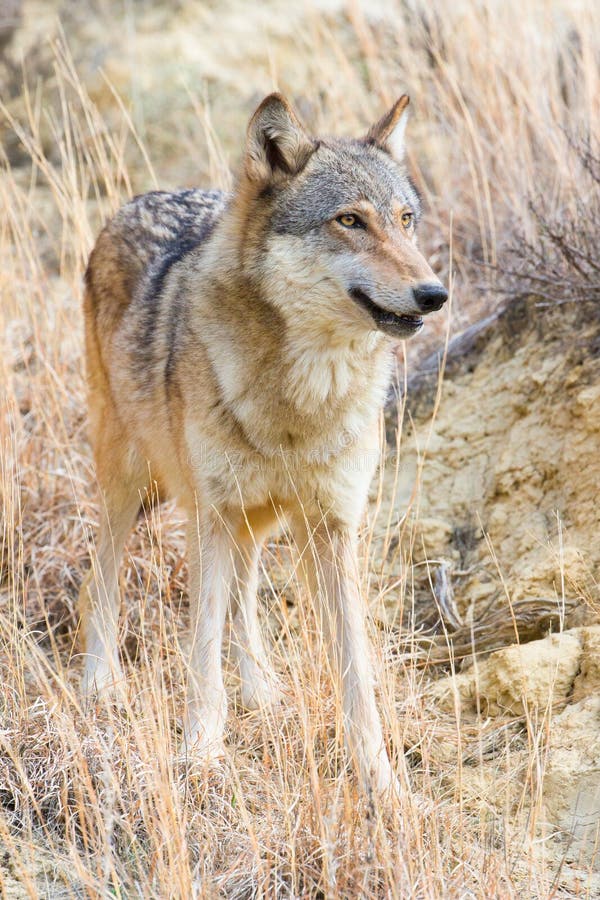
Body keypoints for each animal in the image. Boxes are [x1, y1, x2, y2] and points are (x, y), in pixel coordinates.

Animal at [79, 92, 448, 794]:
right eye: (349, 221)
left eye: (406, 220)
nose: (435, 293)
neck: (301, 398)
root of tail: (141, 198)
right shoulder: (212, 515)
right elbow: (200, 653)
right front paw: (200, 754)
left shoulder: (333, 527)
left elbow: (356, 671)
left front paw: (381, 782)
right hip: (129, 481)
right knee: (104, 573)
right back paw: (100, 683)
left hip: (256, 519)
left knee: (245, 596)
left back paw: (261, 692)